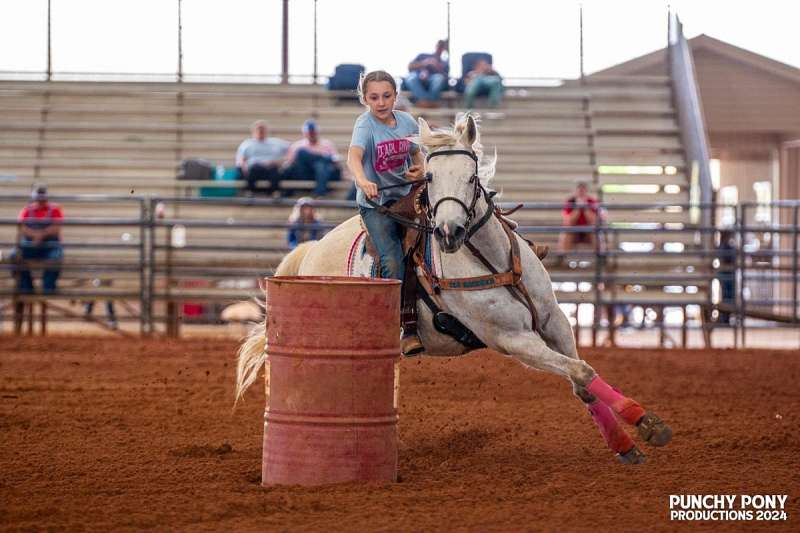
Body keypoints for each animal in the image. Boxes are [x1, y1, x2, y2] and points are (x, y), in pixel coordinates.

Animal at [235, 113, 672, 464]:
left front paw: (627, 443)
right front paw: (645, 421)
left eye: (472, 177)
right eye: (430, 178)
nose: (448, 233)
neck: (493, 260)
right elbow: (582, 371)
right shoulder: (512, 339)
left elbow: (583, 382)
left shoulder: (554, 322)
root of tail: (311, 251)